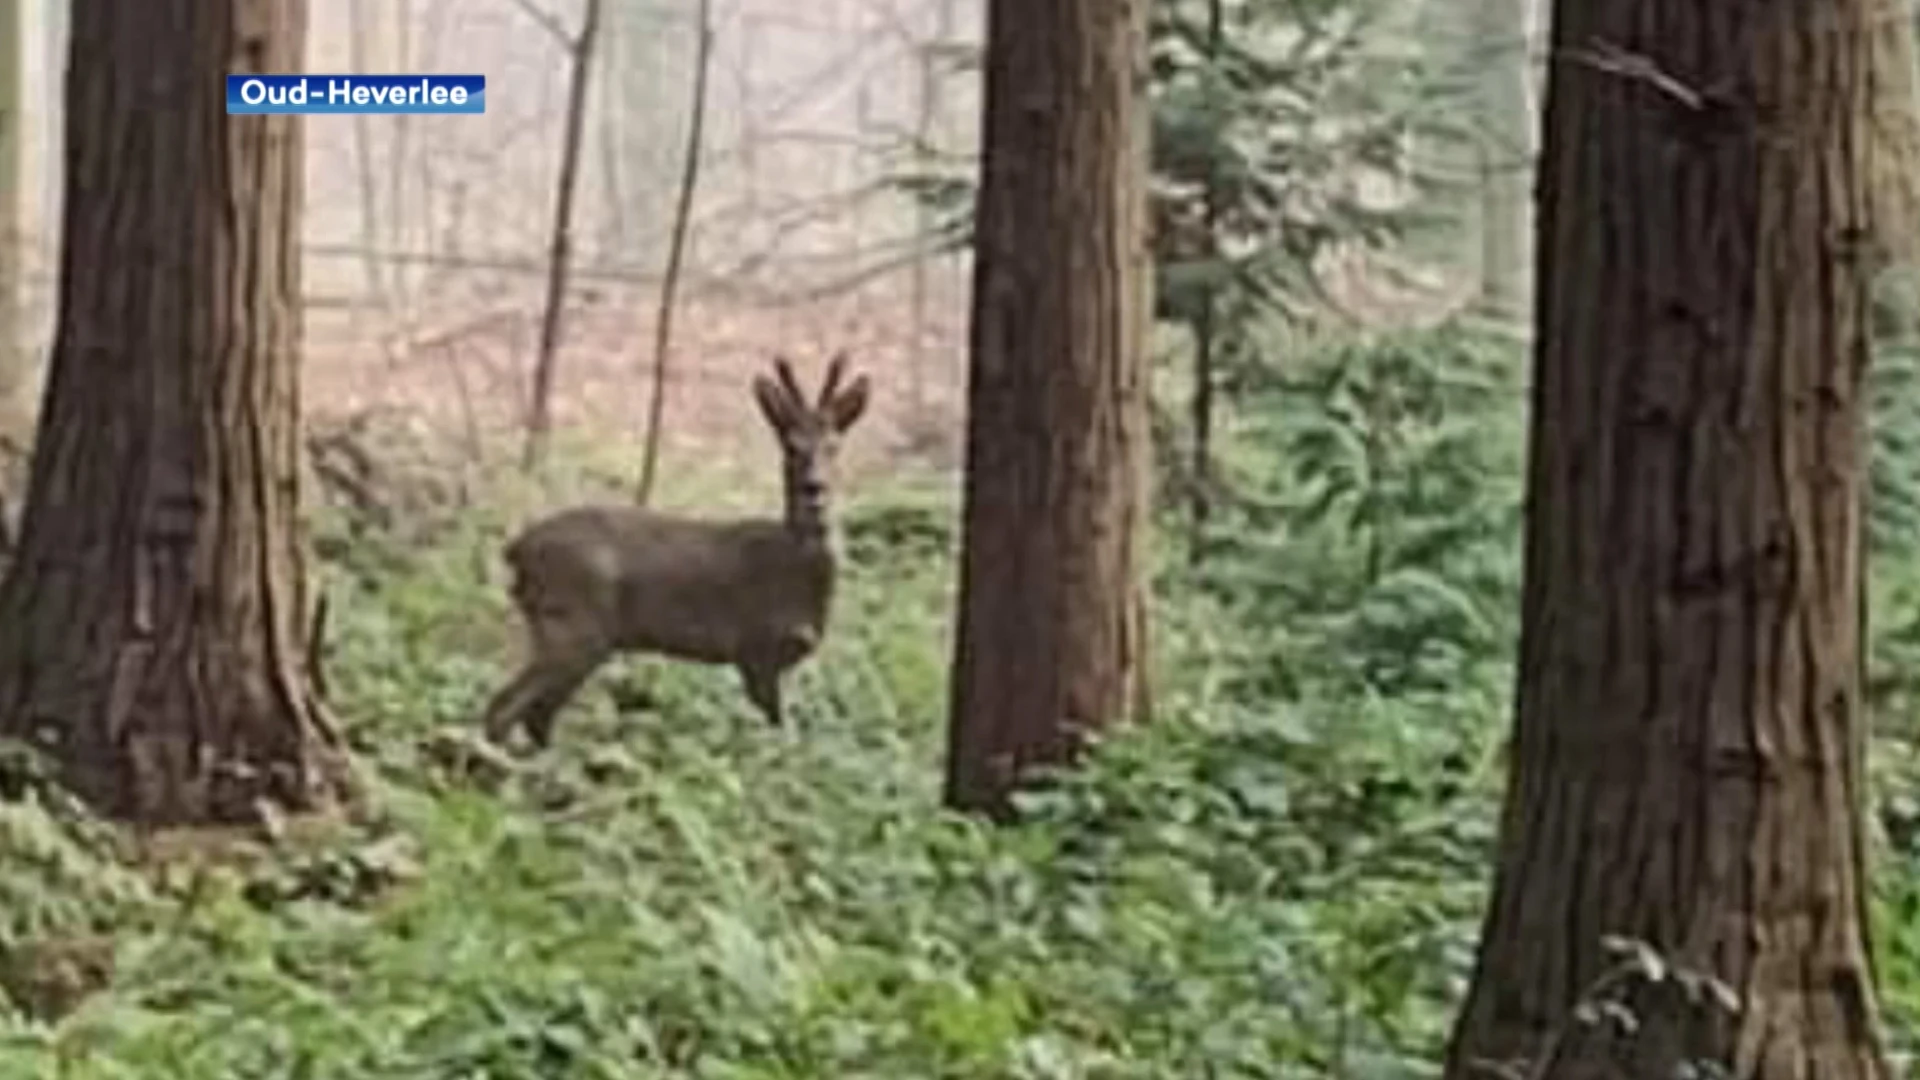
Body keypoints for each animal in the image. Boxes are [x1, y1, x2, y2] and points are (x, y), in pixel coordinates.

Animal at [476, 353, 875, 749]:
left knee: (536, 715)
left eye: (835, 446)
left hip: (569, 632)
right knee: (505, 708)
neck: (795, 570)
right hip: (573, 624)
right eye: (791, 447)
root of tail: (516, 549)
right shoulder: (754, 650)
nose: (814, 487)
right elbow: (777, 734)